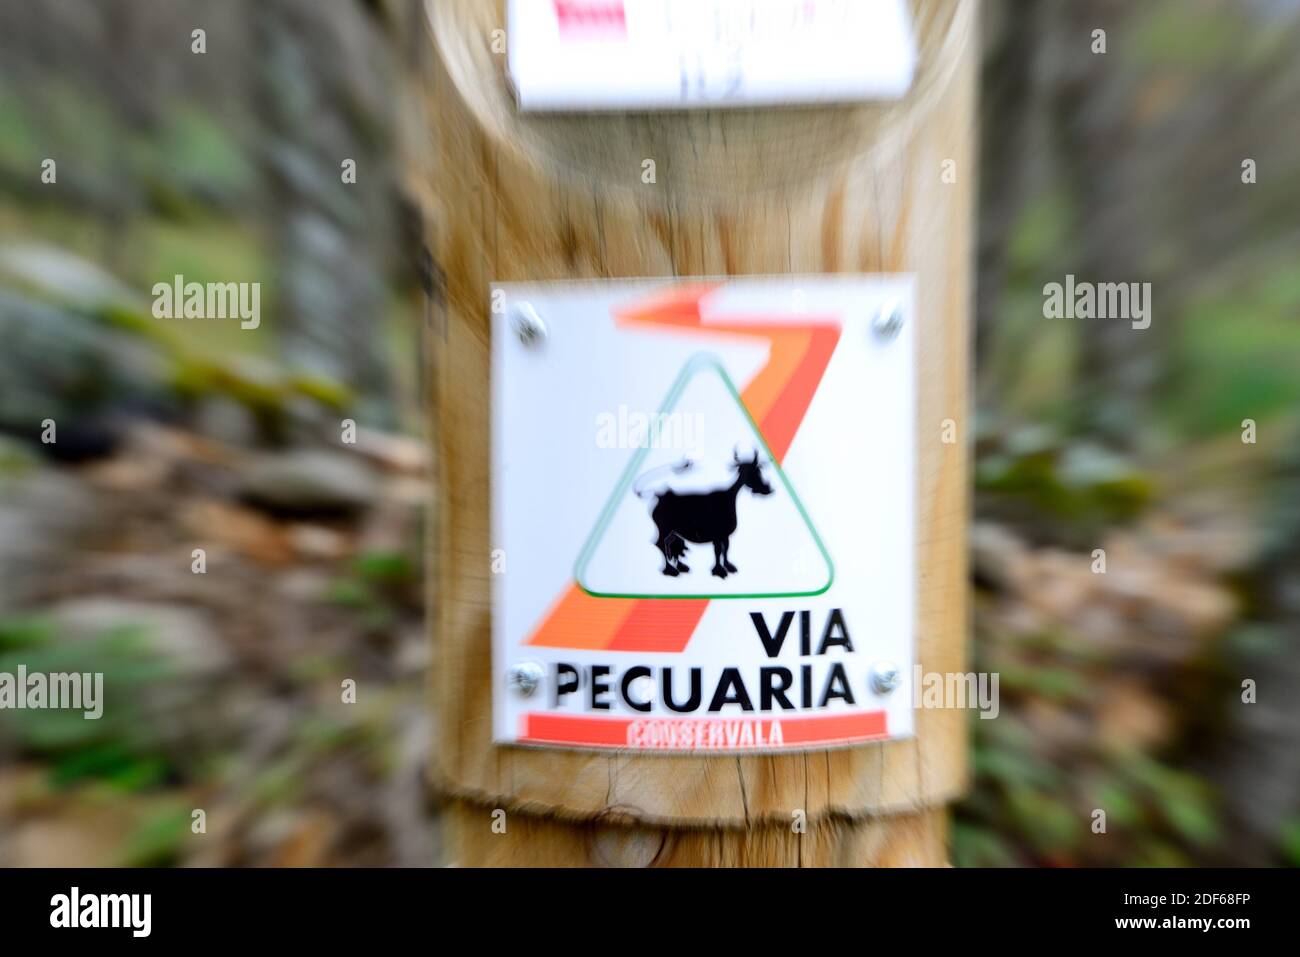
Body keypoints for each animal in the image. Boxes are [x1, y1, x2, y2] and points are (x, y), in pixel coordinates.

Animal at [641, 450, 773, 578]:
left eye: (758, 470)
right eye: (751, 472)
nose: (767, 489)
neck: (729, 498)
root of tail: (658, 497)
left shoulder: (724, 535)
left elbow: (725, 550)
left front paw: (728, 566)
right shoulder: (717, 535)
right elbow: (718, 551)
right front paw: (719, 570)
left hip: (672, 531)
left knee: (669, 544)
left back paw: (681, 567)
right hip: (663, 528)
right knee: (659, 544)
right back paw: (670, 570)